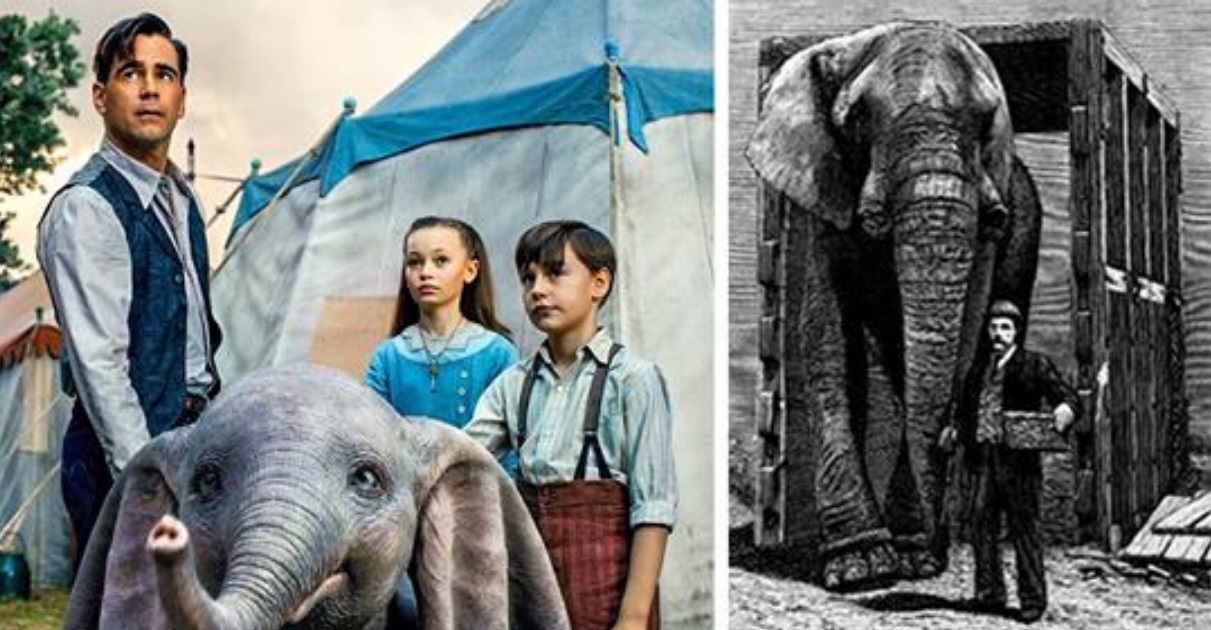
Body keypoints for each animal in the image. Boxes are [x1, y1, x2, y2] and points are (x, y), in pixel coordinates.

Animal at [746, 22, 1042, 591]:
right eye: (856, 120)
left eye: (988, 121)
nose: (929, 552)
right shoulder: (823, 193)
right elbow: (828, 335)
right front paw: (860, 566)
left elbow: (965, 332)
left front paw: (912, 557)